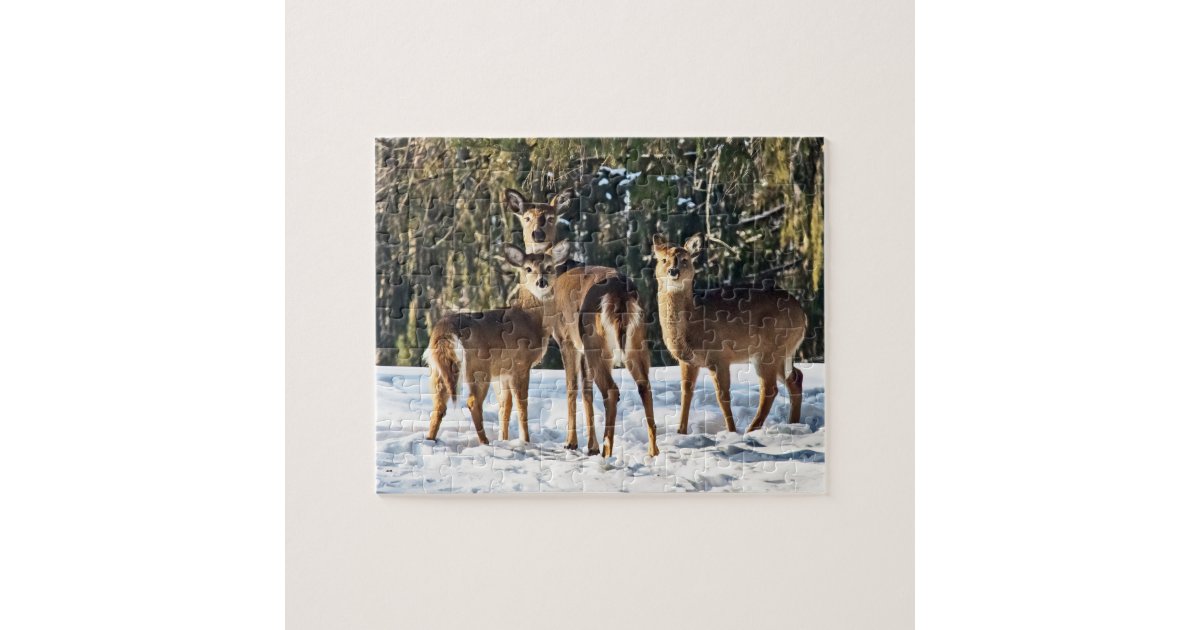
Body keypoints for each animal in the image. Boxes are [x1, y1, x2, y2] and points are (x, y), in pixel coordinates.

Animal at [423, 241, 570, 445]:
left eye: (549, 267)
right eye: (528, 268)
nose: (542, 282)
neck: (530, 319)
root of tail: (445, 331)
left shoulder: (503, 371)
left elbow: (505, 406)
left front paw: (504, 438)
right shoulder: (520, 363)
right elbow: (521, 404)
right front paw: (525, 440)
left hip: (437, 368)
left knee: (438, 405)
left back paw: (430, 439)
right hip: (478, 367)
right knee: (472, 402)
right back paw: (484, 441)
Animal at [506, 188, 659, 457]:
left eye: (550, 217)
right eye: (526, 217)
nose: (537, 233)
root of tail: (619, 294)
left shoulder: (566, 339)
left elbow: (572, 388)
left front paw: (572, 442)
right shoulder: (579, 343)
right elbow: (587, 391)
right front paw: (591, 445)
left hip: (595, 340)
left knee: (611, 390)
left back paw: (609, 449)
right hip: (636, 340)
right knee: (644, 386)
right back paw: (652, 451)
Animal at [651, 233, 809, 435]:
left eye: (685, 259)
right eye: (663, 260)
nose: (673, 271)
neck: (693, 320)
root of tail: (802, 314)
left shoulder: (719, 356)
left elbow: (723, 396)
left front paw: (731, 431)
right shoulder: (688, 361)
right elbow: (686, 394)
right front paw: (680, 432)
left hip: (770, 348)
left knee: (770, 389)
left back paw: (751, 430)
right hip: (782, 352)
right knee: (795, 377)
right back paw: (792, 423)